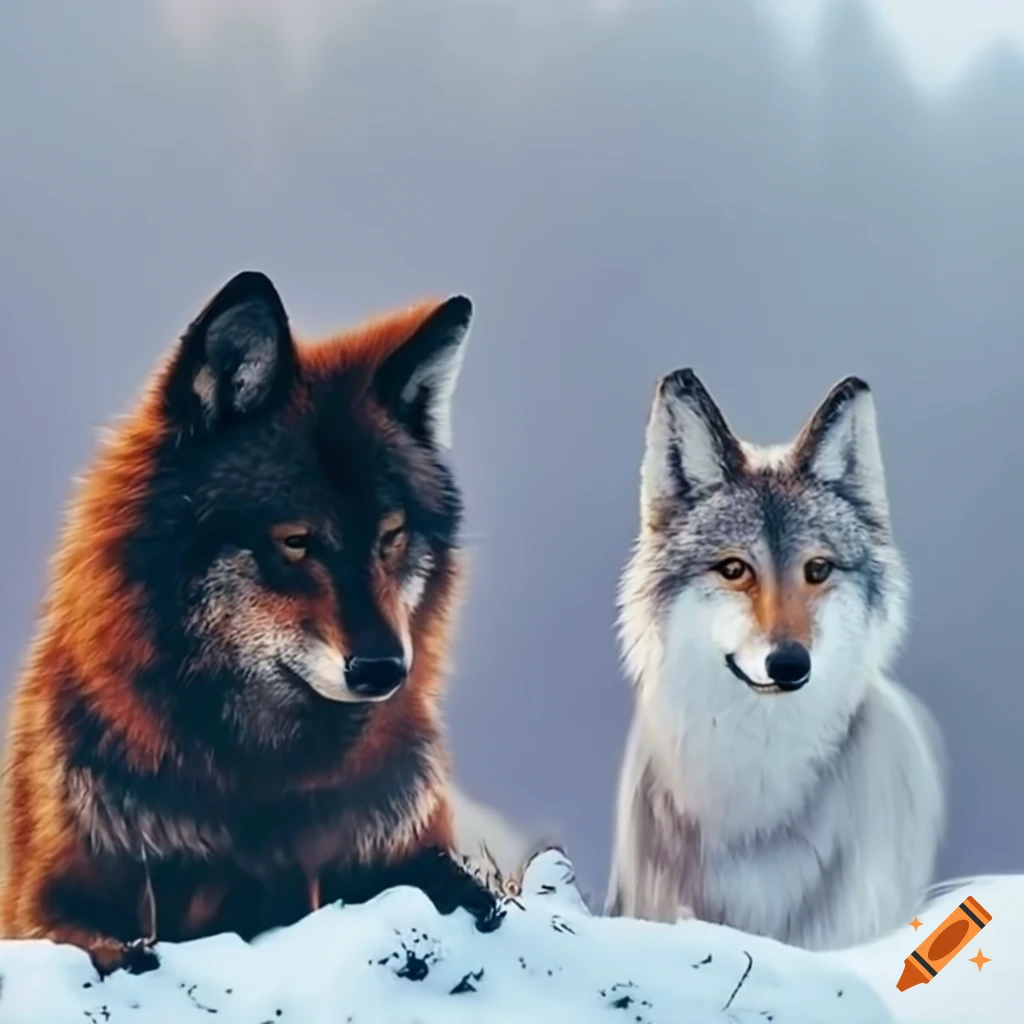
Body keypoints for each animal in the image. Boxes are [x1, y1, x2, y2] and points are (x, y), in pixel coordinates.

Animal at [0, 270, 508, 977]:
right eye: (296, 541)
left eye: (390, 536)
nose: (383, 670)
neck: (260, 778)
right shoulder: (40, 904)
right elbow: (116, 950)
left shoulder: (394, 843)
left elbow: (470, 896)